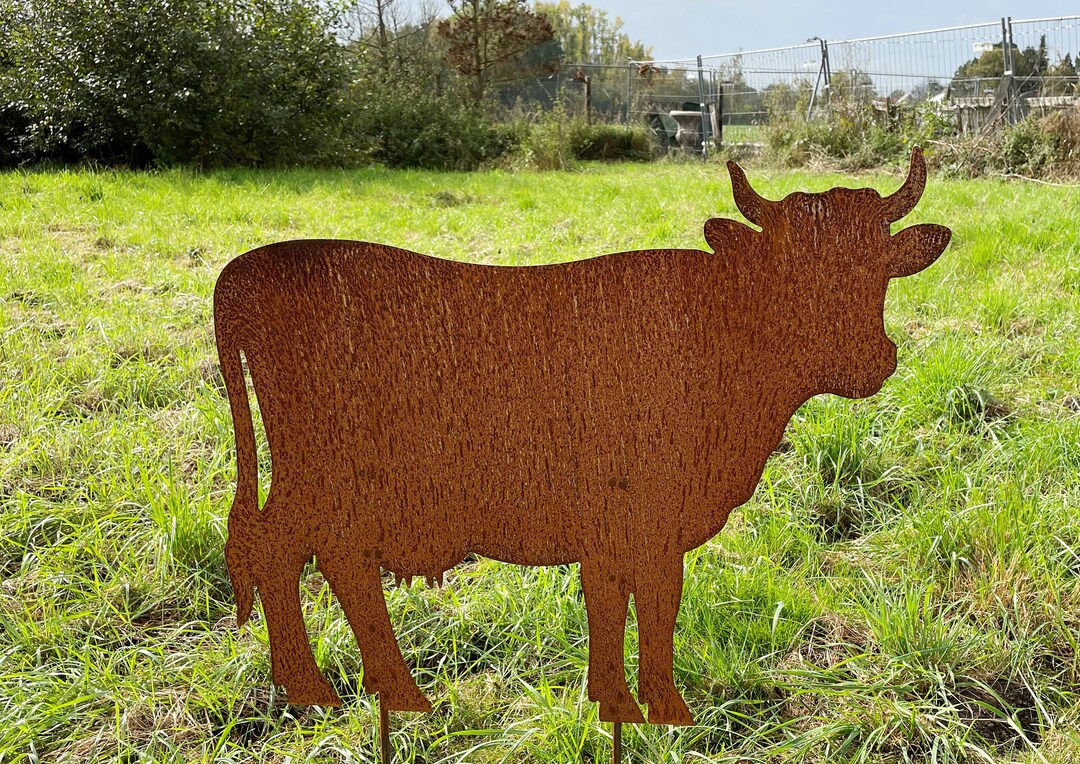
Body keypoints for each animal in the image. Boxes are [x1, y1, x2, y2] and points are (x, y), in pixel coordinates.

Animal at [214, 147, 950, 726]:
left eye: (882, 264)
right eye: (790, 271)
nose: (868, 361)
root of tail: (244, 270)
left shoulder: (631, 527)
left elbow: (627, 603)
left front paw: (628, 703)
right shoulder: (638, 516)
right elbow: (638, 603)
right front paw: (649, 707)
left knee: (334, 563)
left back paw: (383, 692)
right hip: (317, 473)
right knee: (284, 550)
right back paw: (322, 691)